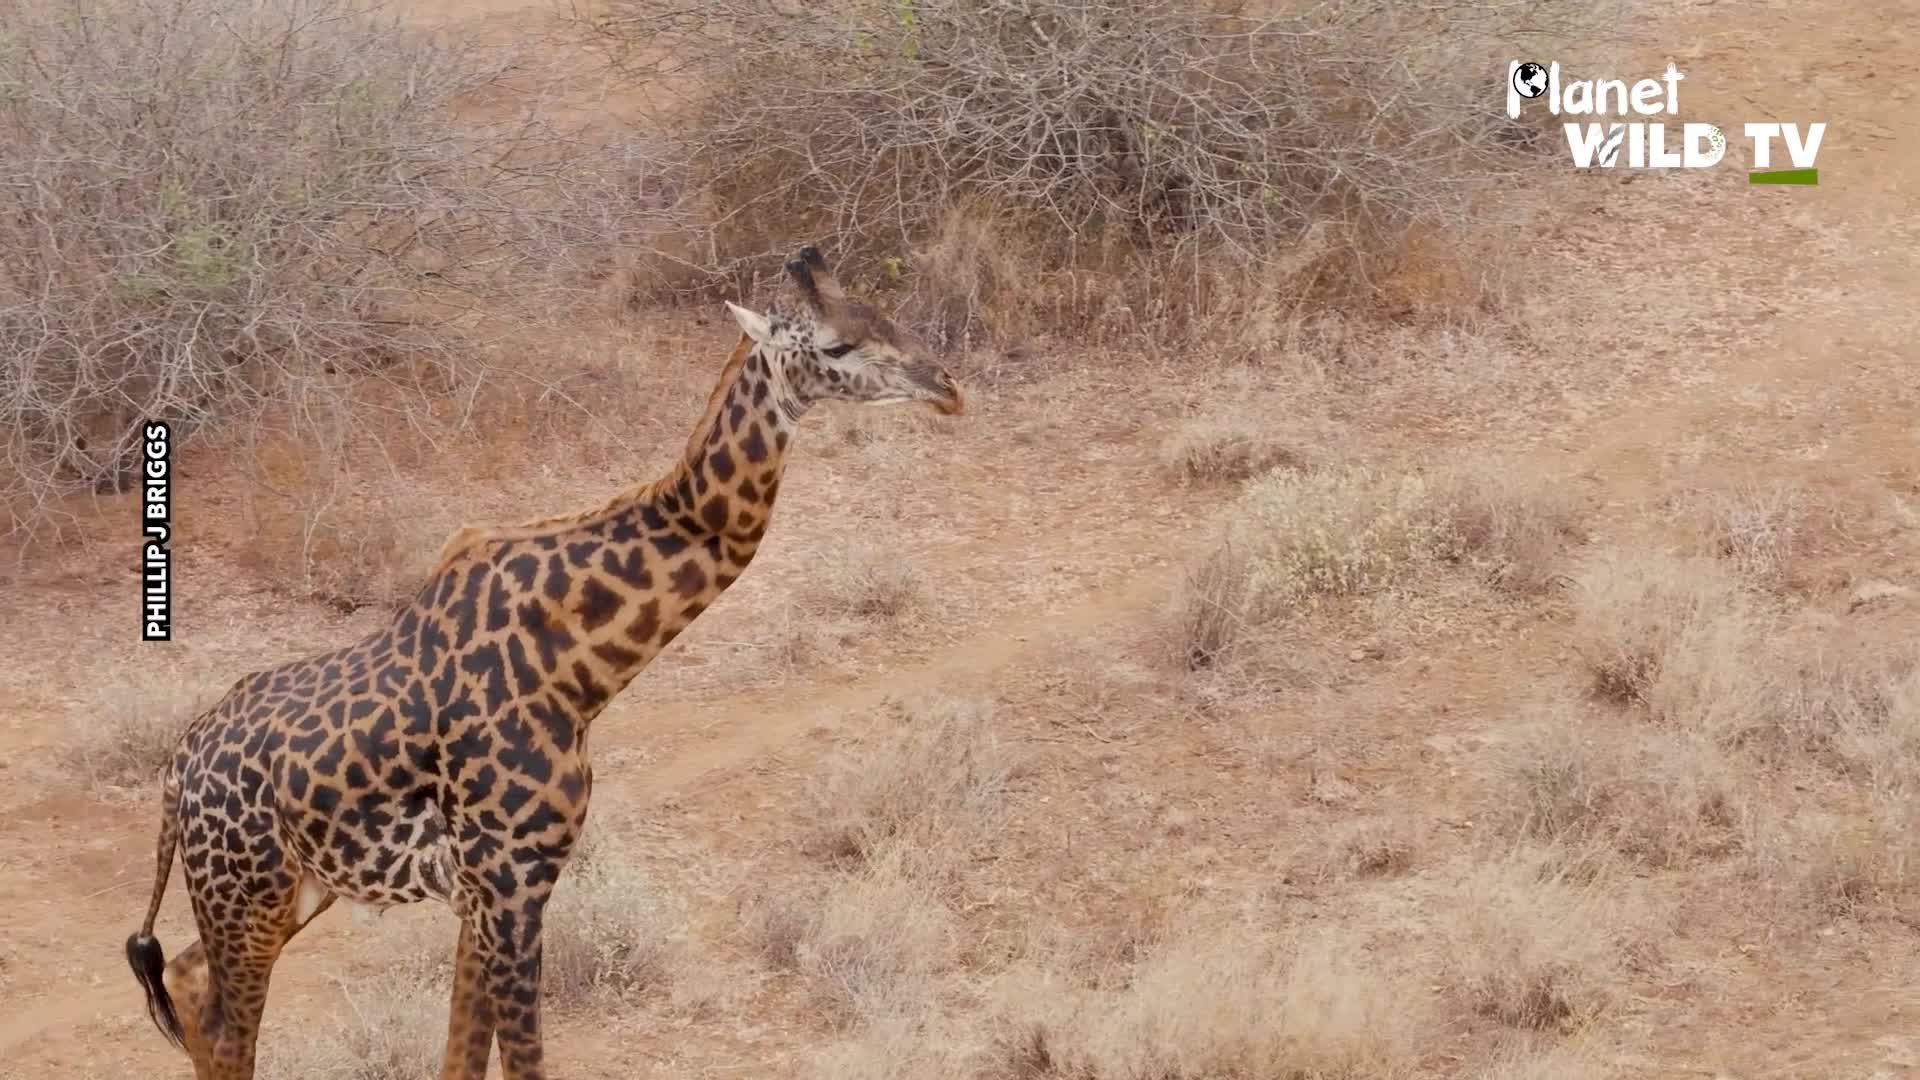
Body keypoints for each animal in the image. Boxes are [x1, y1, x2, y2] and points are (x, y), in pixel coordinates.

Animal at [122, 245, 964, 1079]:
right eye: (837, 346)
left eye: (885, 316)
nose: (948, 388)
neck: (578, 667)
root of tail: (176, 775)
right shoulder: (512, 883)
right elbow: (520, 1062)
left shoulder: (484, 893)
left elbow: (460, 1061)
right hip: (249, 895)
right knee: (225, 1029)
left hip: (293, 891)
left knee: (189, 982)